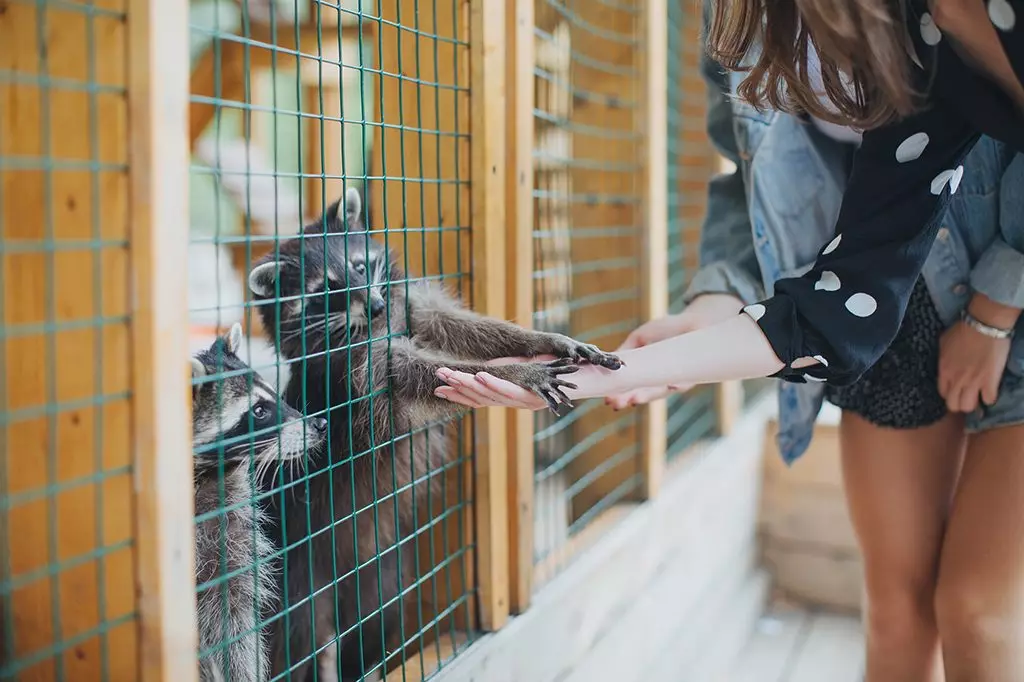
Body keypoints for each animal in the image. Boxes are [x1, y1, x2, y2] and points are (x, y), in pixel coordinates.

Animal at [192, 323, 327, 679]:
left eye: (274, 396)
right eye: (259, 411)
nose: (320, 424)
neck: (209, 475)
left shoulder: (232, 535)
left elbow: (235, 624)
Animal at [247, 186, 622, 679]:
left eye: (361, 266)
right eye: (326, 288)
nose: (374, 305)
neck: (364, 323)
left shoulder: (406, 304)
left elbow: (459, 327)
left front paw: (538, 339)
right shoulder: (353, 366)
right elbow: (420, 372)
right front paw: (517, 373)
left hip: (382, 568)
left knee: (375, 624)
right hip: (295, 574)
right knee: (296, 643)